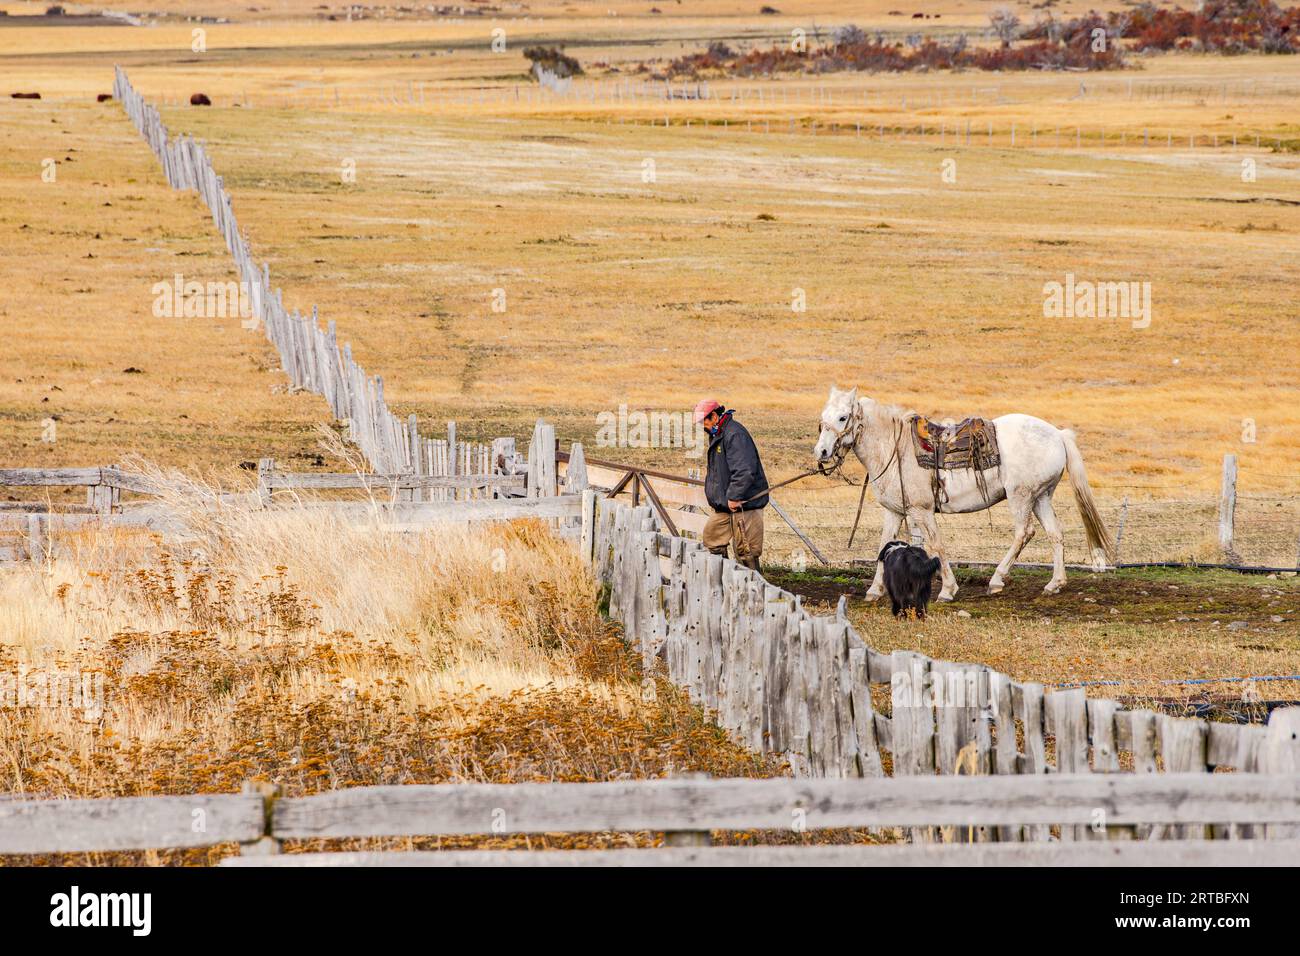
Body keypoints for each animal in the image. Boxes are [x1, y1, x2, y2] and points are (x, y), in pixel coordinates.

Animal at [813, 386, 1115, 601]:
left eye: (842, 417)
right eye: (823, 418)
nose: (822, 452)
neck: (894, 448)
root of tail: (1057, 435)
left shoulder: (922, 511)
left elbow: (936, 545)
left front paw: (948, 590)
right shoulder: (896, 512)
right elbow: (884, 547)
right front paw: (875, 591)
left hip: (1021, 496)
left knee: (1024, 532)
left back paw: (996, 580)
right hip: (1041, 497)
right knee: (1055, 534)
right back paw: (1055, 583)